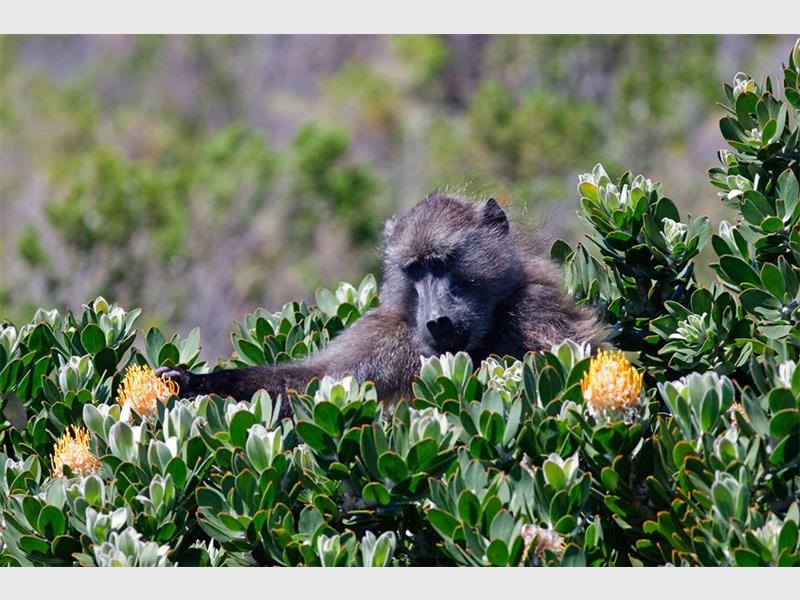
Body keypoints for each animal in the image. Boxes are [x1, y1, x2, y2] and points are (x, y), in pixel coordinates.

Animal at [158, 192, 603, 416]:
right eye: (414, 269)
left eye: (441, 262)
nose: (436, 322)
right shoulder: (388, 331)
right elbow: (317, 382)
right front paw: (189, 383)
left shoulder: (535, 308)